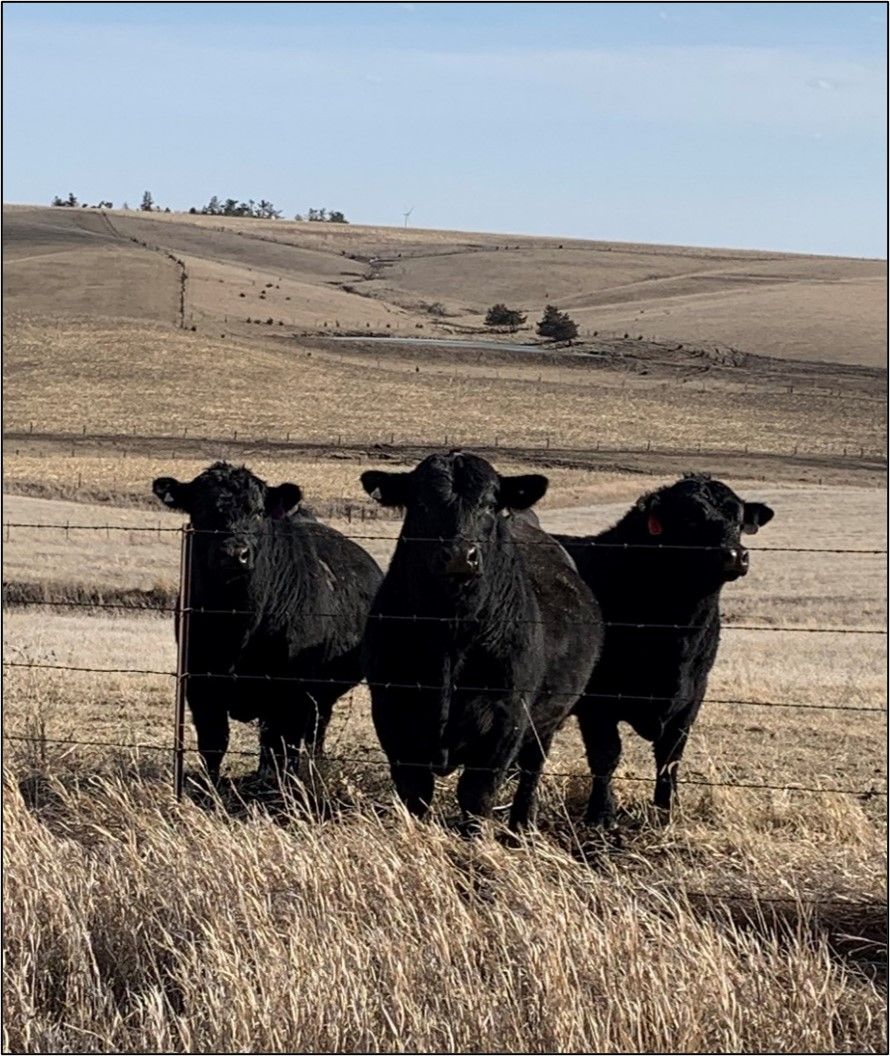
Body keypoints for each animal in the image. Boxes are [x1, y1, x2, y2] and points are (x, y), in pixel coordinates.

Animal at [152, 461, 383, 782]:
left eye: (259, 511)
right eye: (200, 509)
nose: (235, 554)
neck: (236, 623)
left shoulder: (292, 691)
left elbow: (283, 745)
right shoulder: (200, 683)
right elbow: (214, 742)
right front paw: (210, 785)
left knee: (311, 733)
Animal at [360, 451, 603, 832]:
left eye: (490, 504)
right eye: (422, 503)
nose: (461, 555)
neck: (451, 634)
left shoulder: (506, 718)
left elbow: (477, 794)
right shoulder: (390, 709)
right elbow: (415, 791)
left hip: (546, 724)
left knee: (531, 772)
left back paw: (521, 826)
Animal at [555, 473, 774, 827]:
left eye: (739, 520)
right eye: (689, 518)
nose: (735, 555)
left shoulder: (693, 695)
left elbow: (670, 757)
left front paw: (665, 811)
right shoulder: (596, 701)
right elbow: (606, 756)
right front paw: (601, 815)